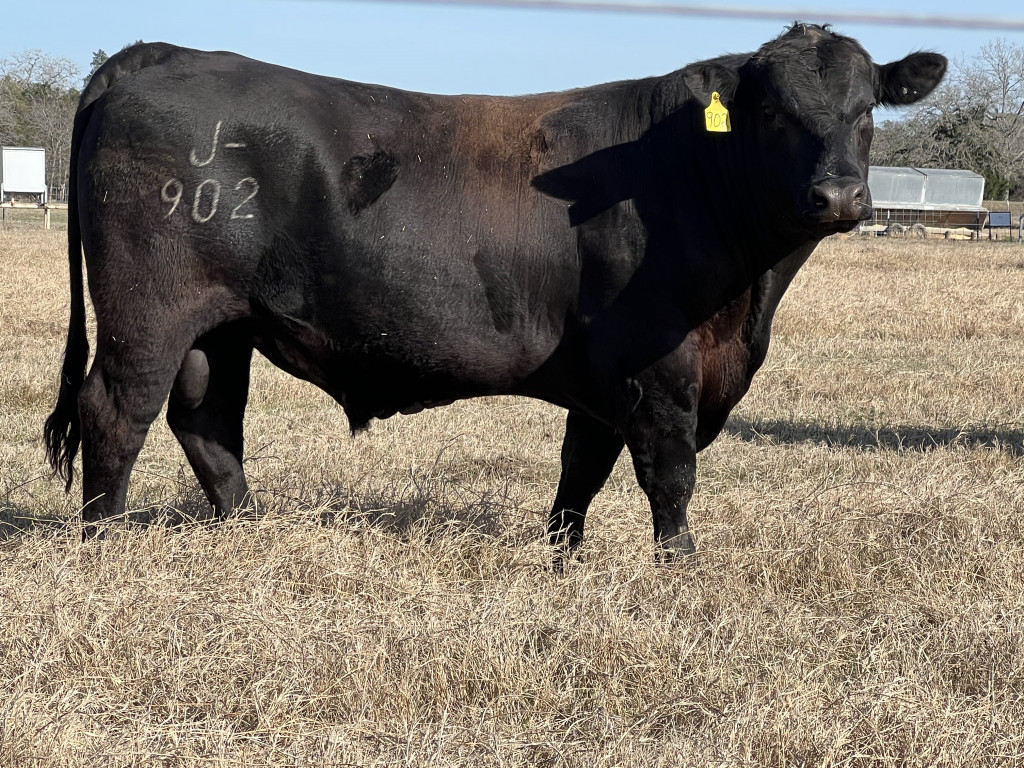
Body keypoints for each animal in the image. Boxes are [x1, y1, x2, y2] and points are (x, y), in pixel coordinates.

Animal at [44, 24, 945, 556]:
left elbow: (581, 469)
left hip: (221, 324)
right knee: (117, 412)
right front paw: (678, 568)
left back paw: (252, 531)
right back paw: (103, 546)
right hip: (149, 312)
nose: (839, 196)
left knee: (207, 422)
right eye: (773, 114)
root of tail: (161, 52)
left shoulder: (604, 370)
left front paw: (563, 557)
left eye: (867, 111)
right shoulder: (658, 363)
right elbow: (670, 472)